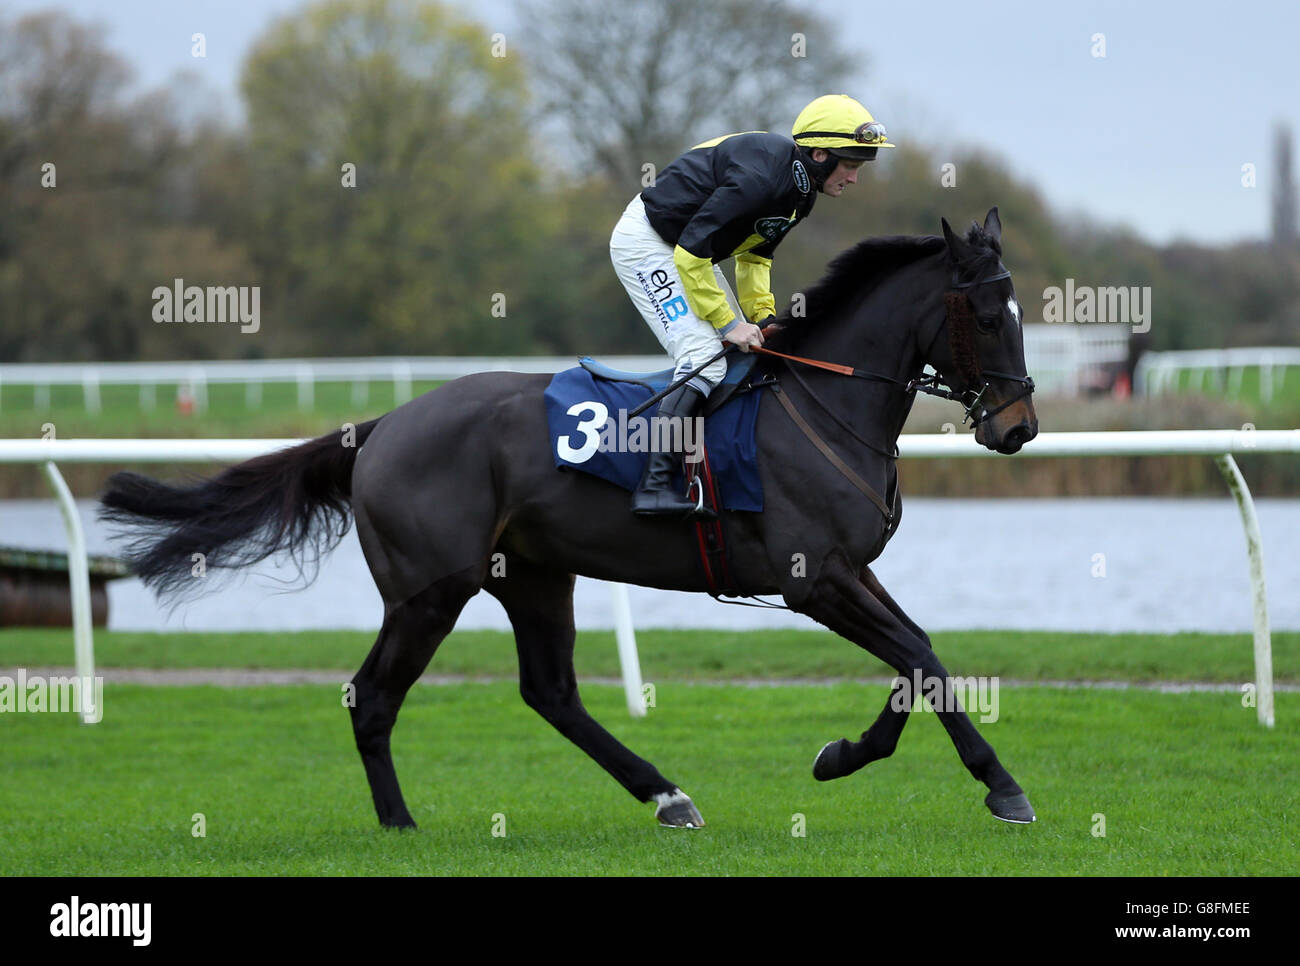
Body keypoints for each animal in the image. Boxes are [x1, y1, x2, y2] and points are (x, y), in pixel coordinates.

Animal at [100, 206, 1039, 829]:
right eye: (988, 314)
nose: (1018, 426)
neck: (823, 400)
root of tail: (383, 425)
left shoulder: (853, 569)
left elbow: (919, 655)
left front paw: (850, 755)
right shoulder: (816, 579)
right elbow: (917, 656)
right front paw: (996, 784)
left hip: (534, 575)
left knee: (549, 691)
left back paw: (666, 795)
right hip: (428, 592)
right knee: (372, 697)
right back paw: (400, 822)